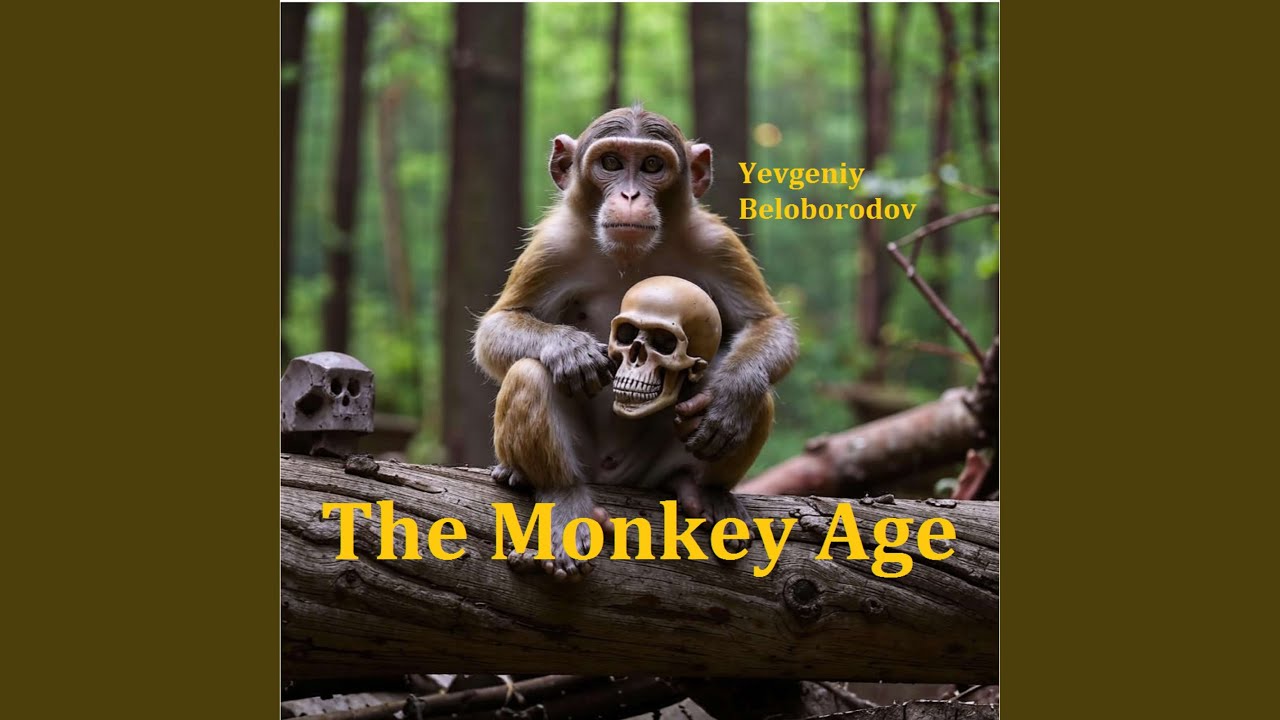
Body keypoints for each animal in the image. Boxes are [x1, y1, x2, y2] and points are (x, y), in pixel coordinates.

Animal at [472, 105, 798, 580]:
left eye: (651, 165)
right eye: (611, 163)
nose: (629, 195)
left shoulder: (716, 243)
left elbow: (766, 324)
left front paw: (733, 395)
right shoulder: (553, 246)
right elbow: (498, 326)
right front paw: (568, 349)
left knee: (757, 395)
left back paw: (707, 490)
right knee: (529, 372)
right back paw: (557, 495)